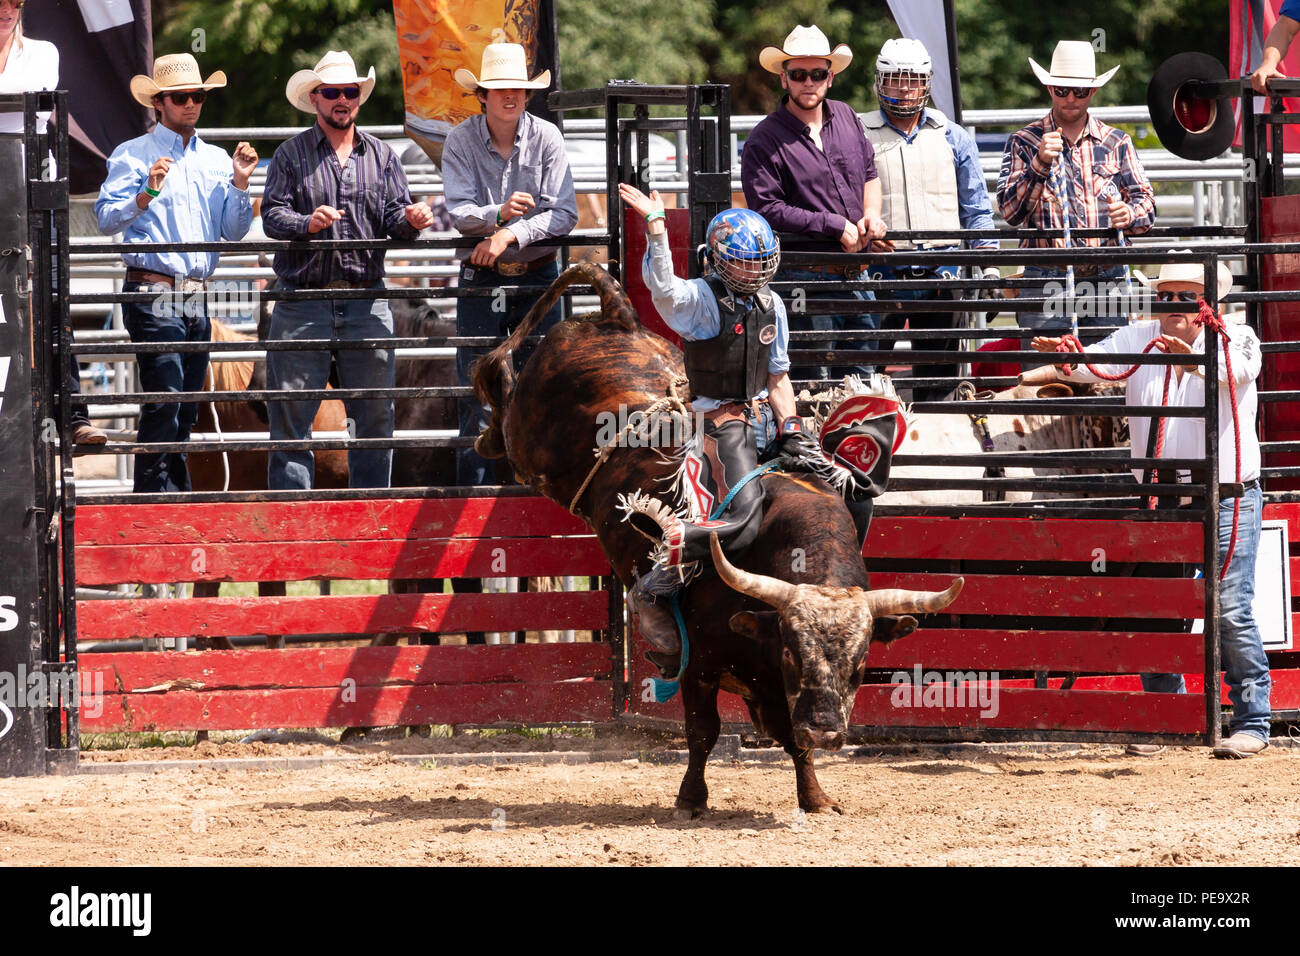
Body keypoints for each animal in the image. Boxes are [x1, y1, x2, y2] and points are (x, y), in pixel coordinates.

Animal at [472, 261, 963, 817]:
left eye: (860, 665)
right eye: (793, 653)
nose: (826, 730)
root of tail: (618, 317)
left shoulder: (774, 691)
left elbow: (792, 741)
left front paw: (815, 796)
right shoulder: (699, 667)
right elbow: (703, 732)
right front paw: (691, 798)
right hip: (528, 443)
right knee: (499, 393)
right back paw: (486, 425)